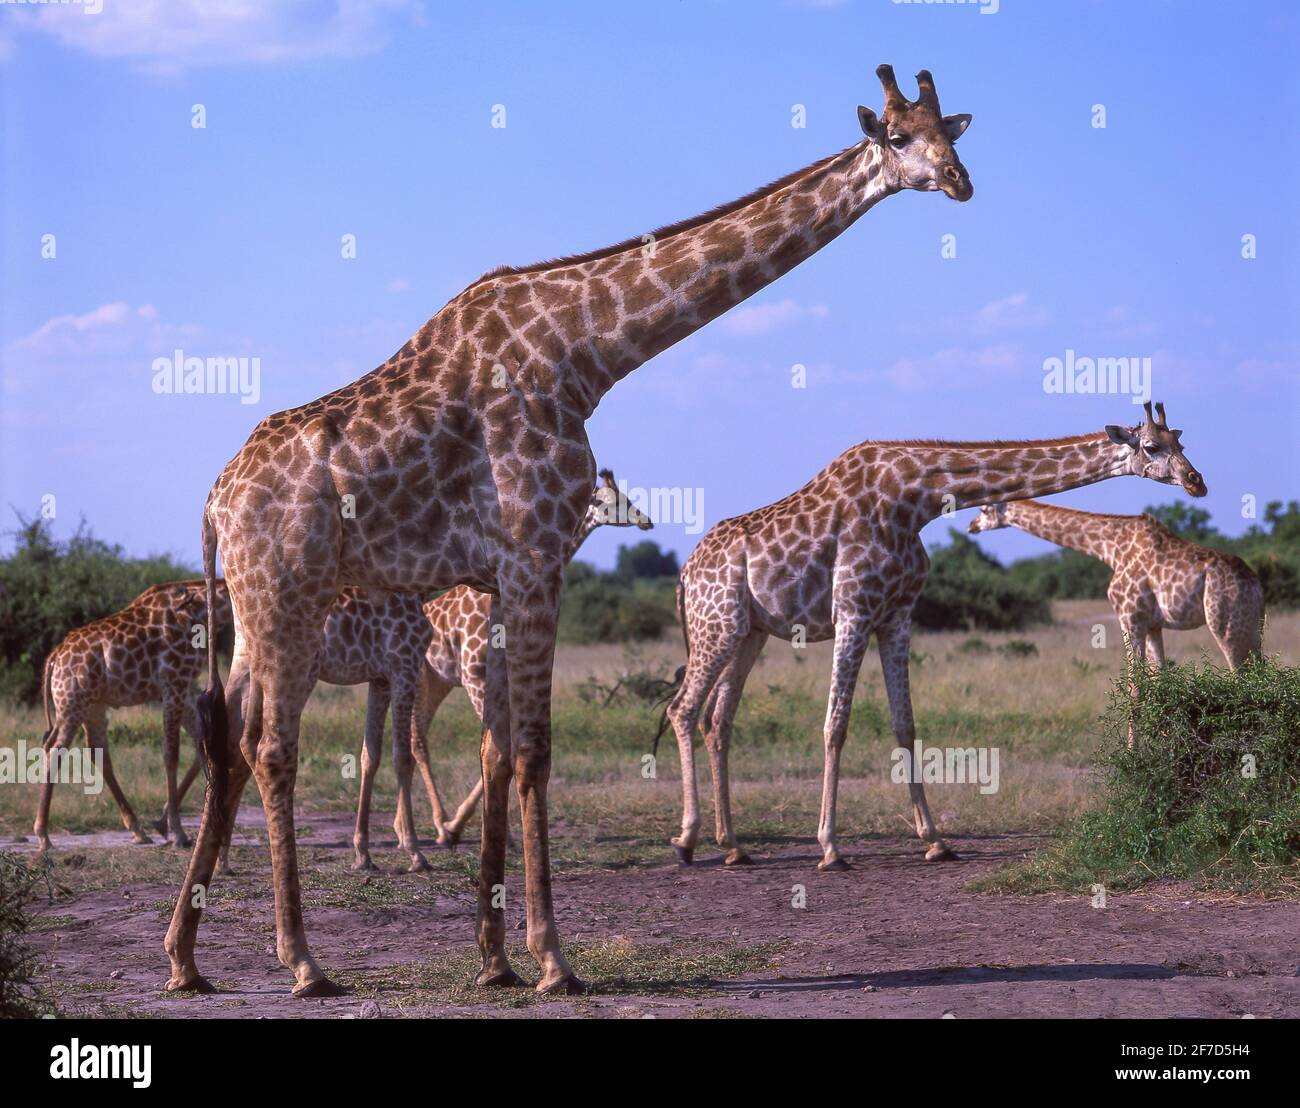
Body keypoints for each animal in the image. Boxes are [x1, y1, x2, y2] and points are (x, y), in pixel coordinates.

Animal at [33, 580, 232, 852]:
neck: (202, 610)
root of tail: (53, 659)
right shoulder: (174, 684)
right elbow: (171, 754)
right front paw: (178, 832)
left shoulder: (183, 688)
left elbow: (200, 745)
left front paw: (161, 823)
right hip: (71, 704)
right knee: (55, 750)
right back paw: (43, 835)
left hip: (93, 706)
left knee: (96, 752)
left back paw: (138, 830)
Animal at [411, 468, 654, 847]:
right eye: (611, 501)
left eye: (627, 497)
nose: (646, 520)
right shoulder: (474, 676)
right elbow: (496, 749)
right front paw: (470, 829)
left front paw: (501, 835)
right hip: (423, 676)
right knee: (415, 740)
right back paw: (434, 828)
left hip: (437, 680)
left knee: (414, 738)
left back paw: (421, 829)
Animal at [660, 401, 1206, 869]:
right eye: (1151, 446)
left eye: (1180, 440)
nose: (1197, 481)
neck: (913, 498)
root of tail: (685, 573)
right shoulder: (853, 610)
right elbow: (835, 725)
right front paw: (831, 847)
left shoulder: (897, 614)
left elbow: (905, 725)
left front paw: (935, 840)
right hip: (717, 626)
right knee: (683, 709)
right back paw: (686, 840)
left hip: (749, 632)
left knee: (717, 720)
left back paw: (733, 846)